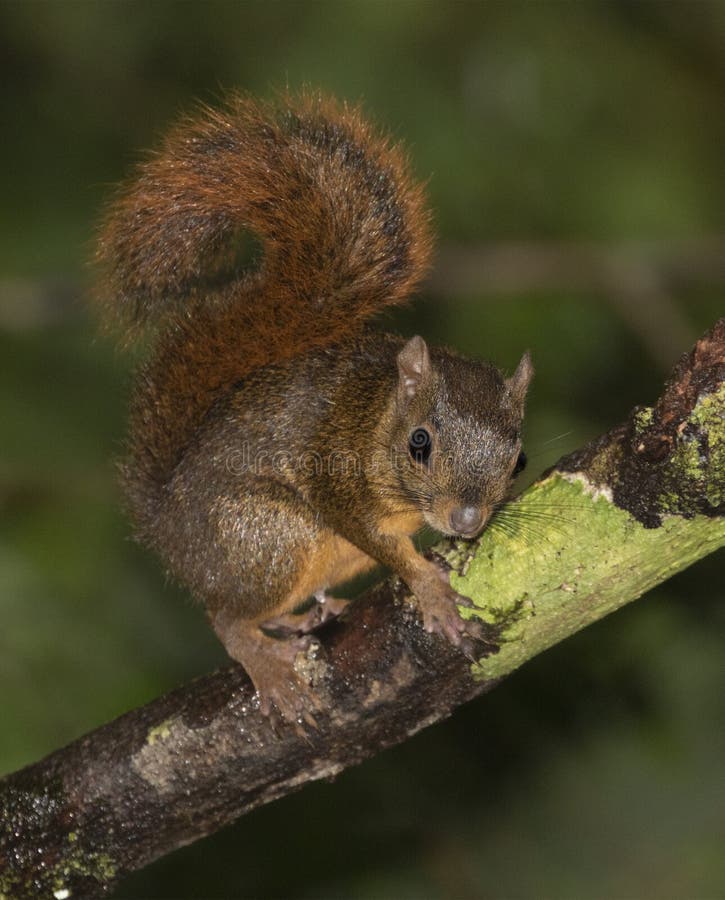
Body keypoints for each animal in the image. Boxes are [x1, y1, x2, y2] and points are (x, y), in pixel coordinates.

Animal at [95, 92, 533, 724]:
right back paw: (267, 659)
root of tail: (166, 524)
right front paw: (430, 590)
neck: (373, 417)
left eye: (519, 460)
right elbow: (382, 543)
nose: (467, 521)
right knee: (225, 616)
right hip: (270, 533)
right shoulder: (337, 476)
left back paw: (308, 614)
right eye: (419, 443)